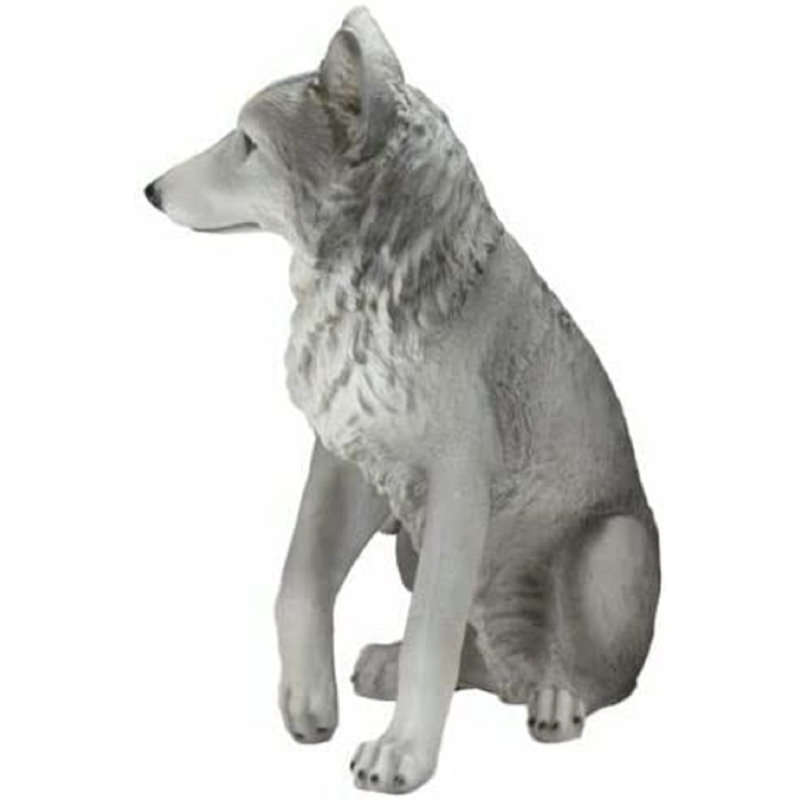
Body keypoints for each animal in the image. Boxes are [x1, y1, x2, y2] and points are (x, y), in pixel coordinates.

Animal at [144, 6, 660, 793]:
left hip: (611, 546)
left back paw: (554, 698)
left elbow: (431, 633)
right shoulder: (351, 461)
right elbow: (298, 576)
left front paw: (403, 755)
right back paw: (391, 667)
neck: (372, 286)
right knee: (483, 663)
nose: (151, 190)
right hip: (408, 544)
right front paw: (308, 700)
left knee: (594, 678)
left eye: (247, 143)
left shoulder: (456, 489)